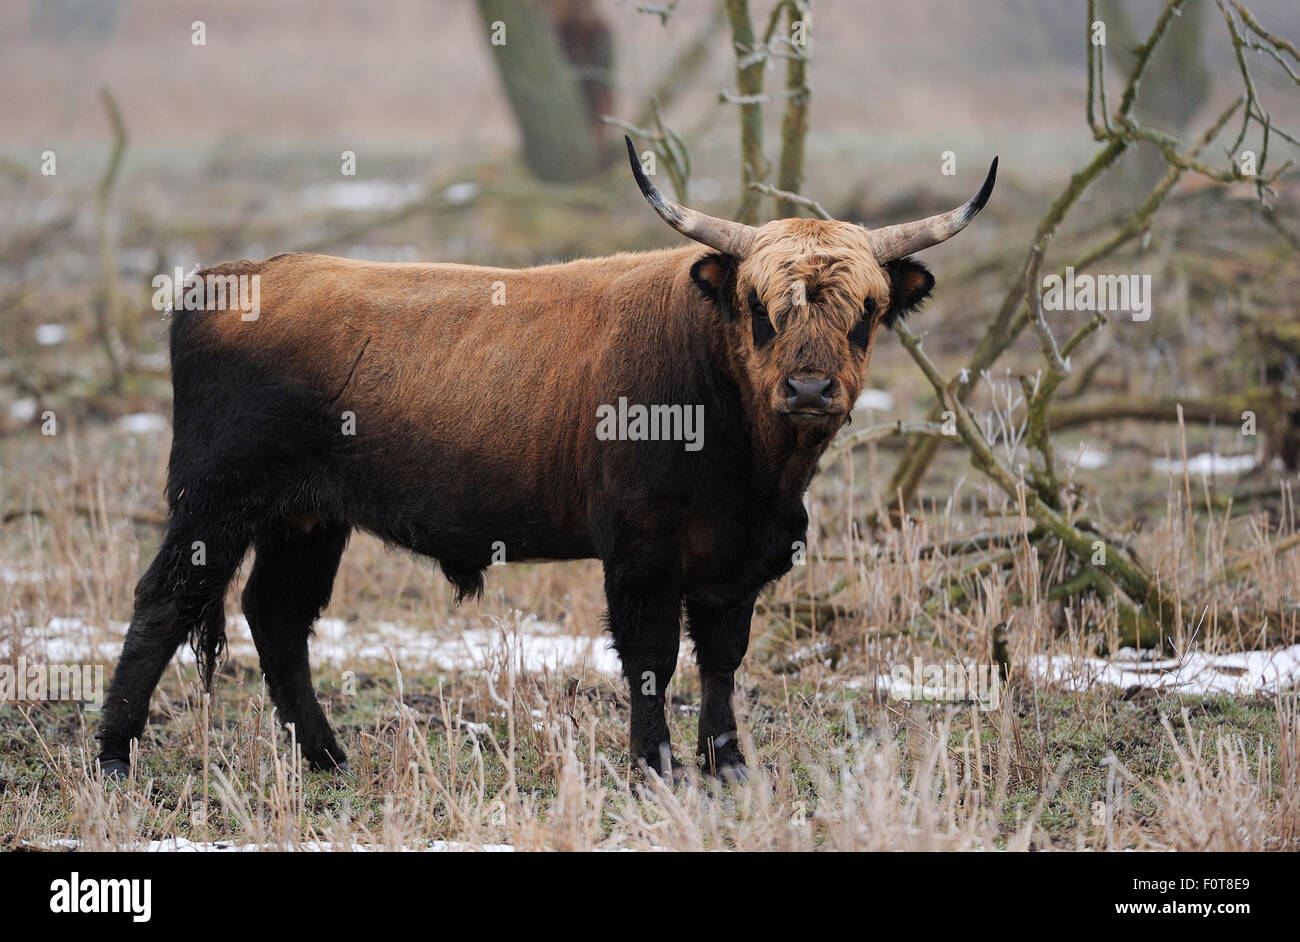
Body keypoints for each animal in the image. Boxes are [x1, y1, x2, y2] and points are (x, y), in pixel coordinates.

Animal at [97, 138, 995, 782]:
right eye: (758, 308)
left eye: (866, 311)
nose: (810, 389)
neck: (753, 461)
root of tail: (229, 276)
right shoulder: (640, 550)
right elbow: (651, 659)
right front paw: (655, 767)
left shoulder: (734, 561)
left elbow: (722, 660)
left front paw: (731, 766)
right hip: (215, 503)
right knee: (164, 604)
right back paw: (114, 758)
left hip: (307, 519)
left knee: (277, 616)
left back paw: (326, 758)